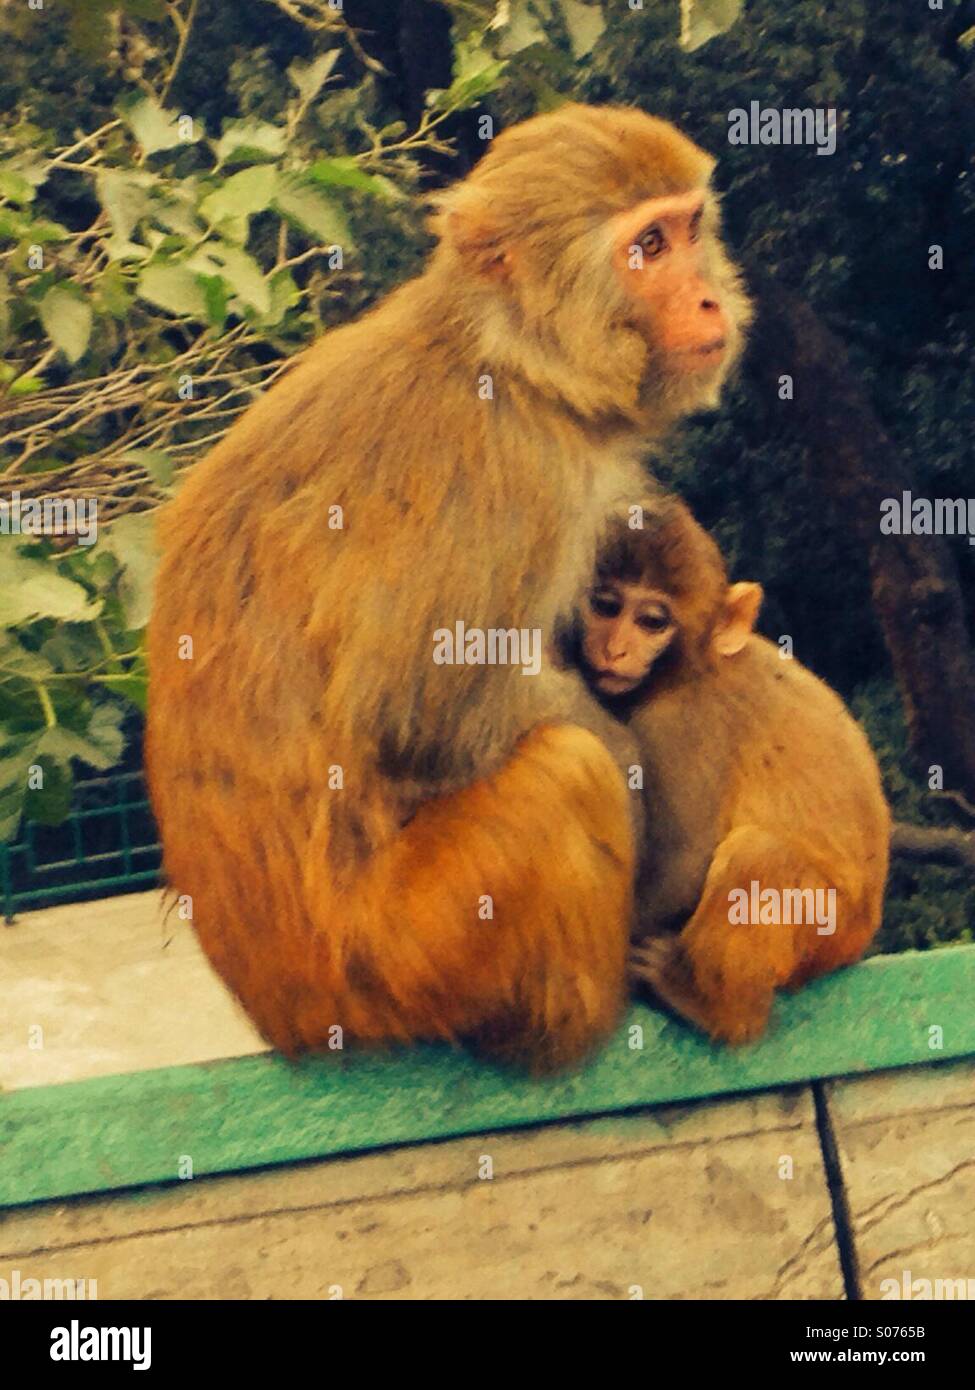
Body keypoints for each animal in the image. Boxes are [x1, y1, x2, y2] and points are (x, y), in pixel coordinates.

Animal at [146, 104, 752, 1071]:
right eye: (646, 246)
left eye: (689, 230)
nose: (707, 299)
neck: (511, 357)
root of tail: (286, 1017)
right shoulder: (511, 472)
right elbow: (415, 719)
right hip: (400, 960)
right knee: (563, 769)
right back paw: (579, 1019)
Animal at [567, 493, 891, 1045]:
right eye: (606, 606)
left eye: (651, 621)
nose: (614, 649)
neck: (691, 668)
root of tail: (862, 933)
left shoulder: (682, 721)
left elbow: (683, 860)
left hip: (829, 930)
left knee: (758, 857)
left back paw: (717, 1008)